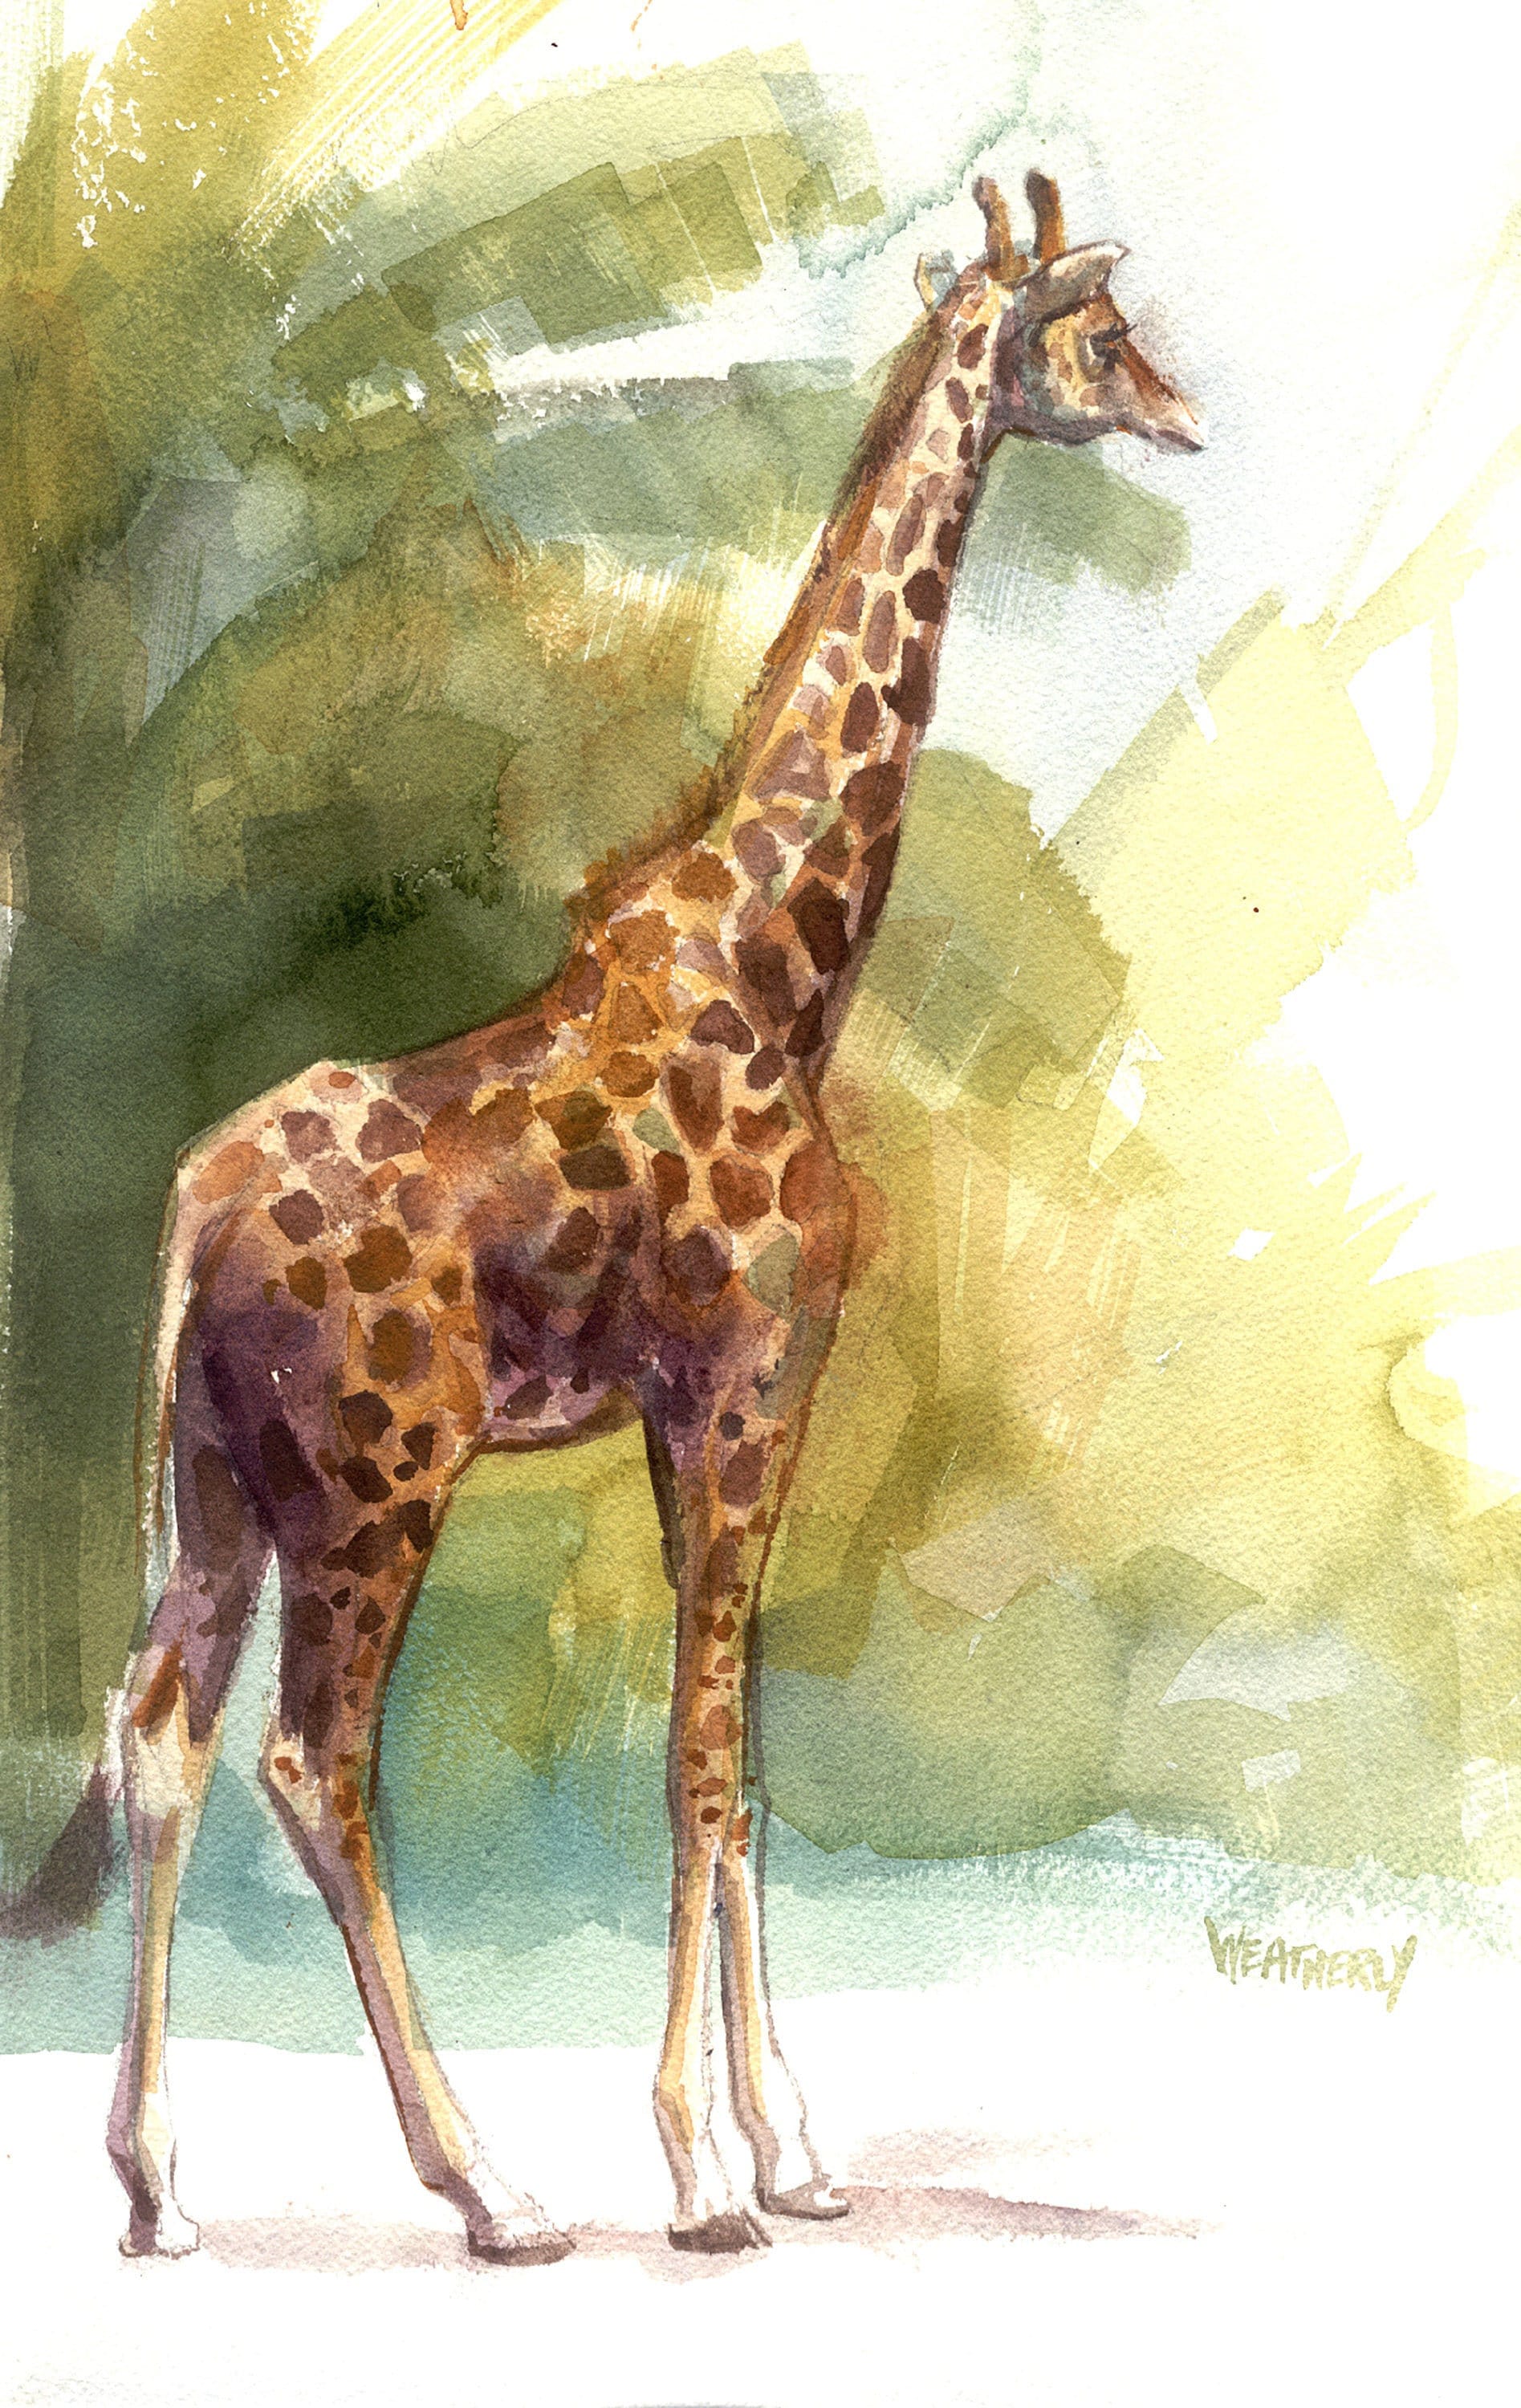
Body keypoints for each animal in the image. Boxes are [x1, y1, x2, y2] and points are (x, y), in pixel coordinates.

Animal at [107, 171, 1201, 2263]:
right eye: (1094, 336)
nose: (1184, 414)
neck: (783, 959)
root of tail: (191, 1222)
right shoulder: (749, 1380)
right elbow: (704, 1765)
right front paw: (704, 2173)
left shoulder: (710, 1410)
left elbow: (735, 1754)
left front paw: (792, 2152)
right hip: (375, 1482)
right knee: (312, 1759)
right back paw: (492, 2185)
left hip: (219, 1485)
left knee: (156, 1734)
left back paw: (151, 2188)